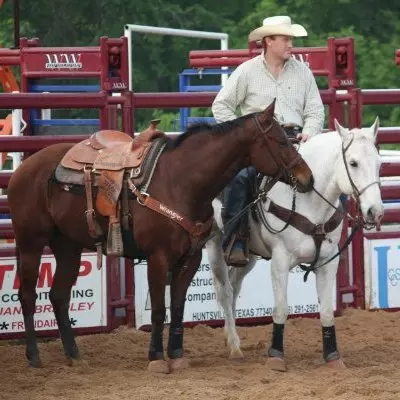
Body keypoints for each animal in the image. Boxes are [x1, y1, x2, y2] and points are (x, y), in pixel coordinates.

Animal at [6, 99, 312, 372]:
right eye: (281, 141)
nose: (307, 178)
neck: (181, 181)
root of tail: (24, 168)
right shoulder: (158, 258)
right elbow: (158, 309)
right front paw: (156, 358)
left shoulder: (190, 258)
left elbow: (176, 306)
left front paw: (176, 355)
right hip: (31, 241)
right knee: (28, 295)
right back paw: (34, 356)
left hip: (67, 245)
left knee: (58, 295)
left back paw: (74, 355)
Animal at [206, 119, 384, 372]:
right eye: (353, 163)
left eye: (379, 163)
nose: (375, 212)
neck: (308, 198)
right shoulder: (281, 261)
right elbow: (281, 308)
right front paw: (275, 356)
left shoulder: (328, 262)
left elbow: (327, 311)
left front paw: (333, 357)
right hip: (214, 245)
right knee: (225, 291)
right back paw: (234, 347)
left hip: (247, 256)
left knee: (234, 288)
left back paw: (230, 338)